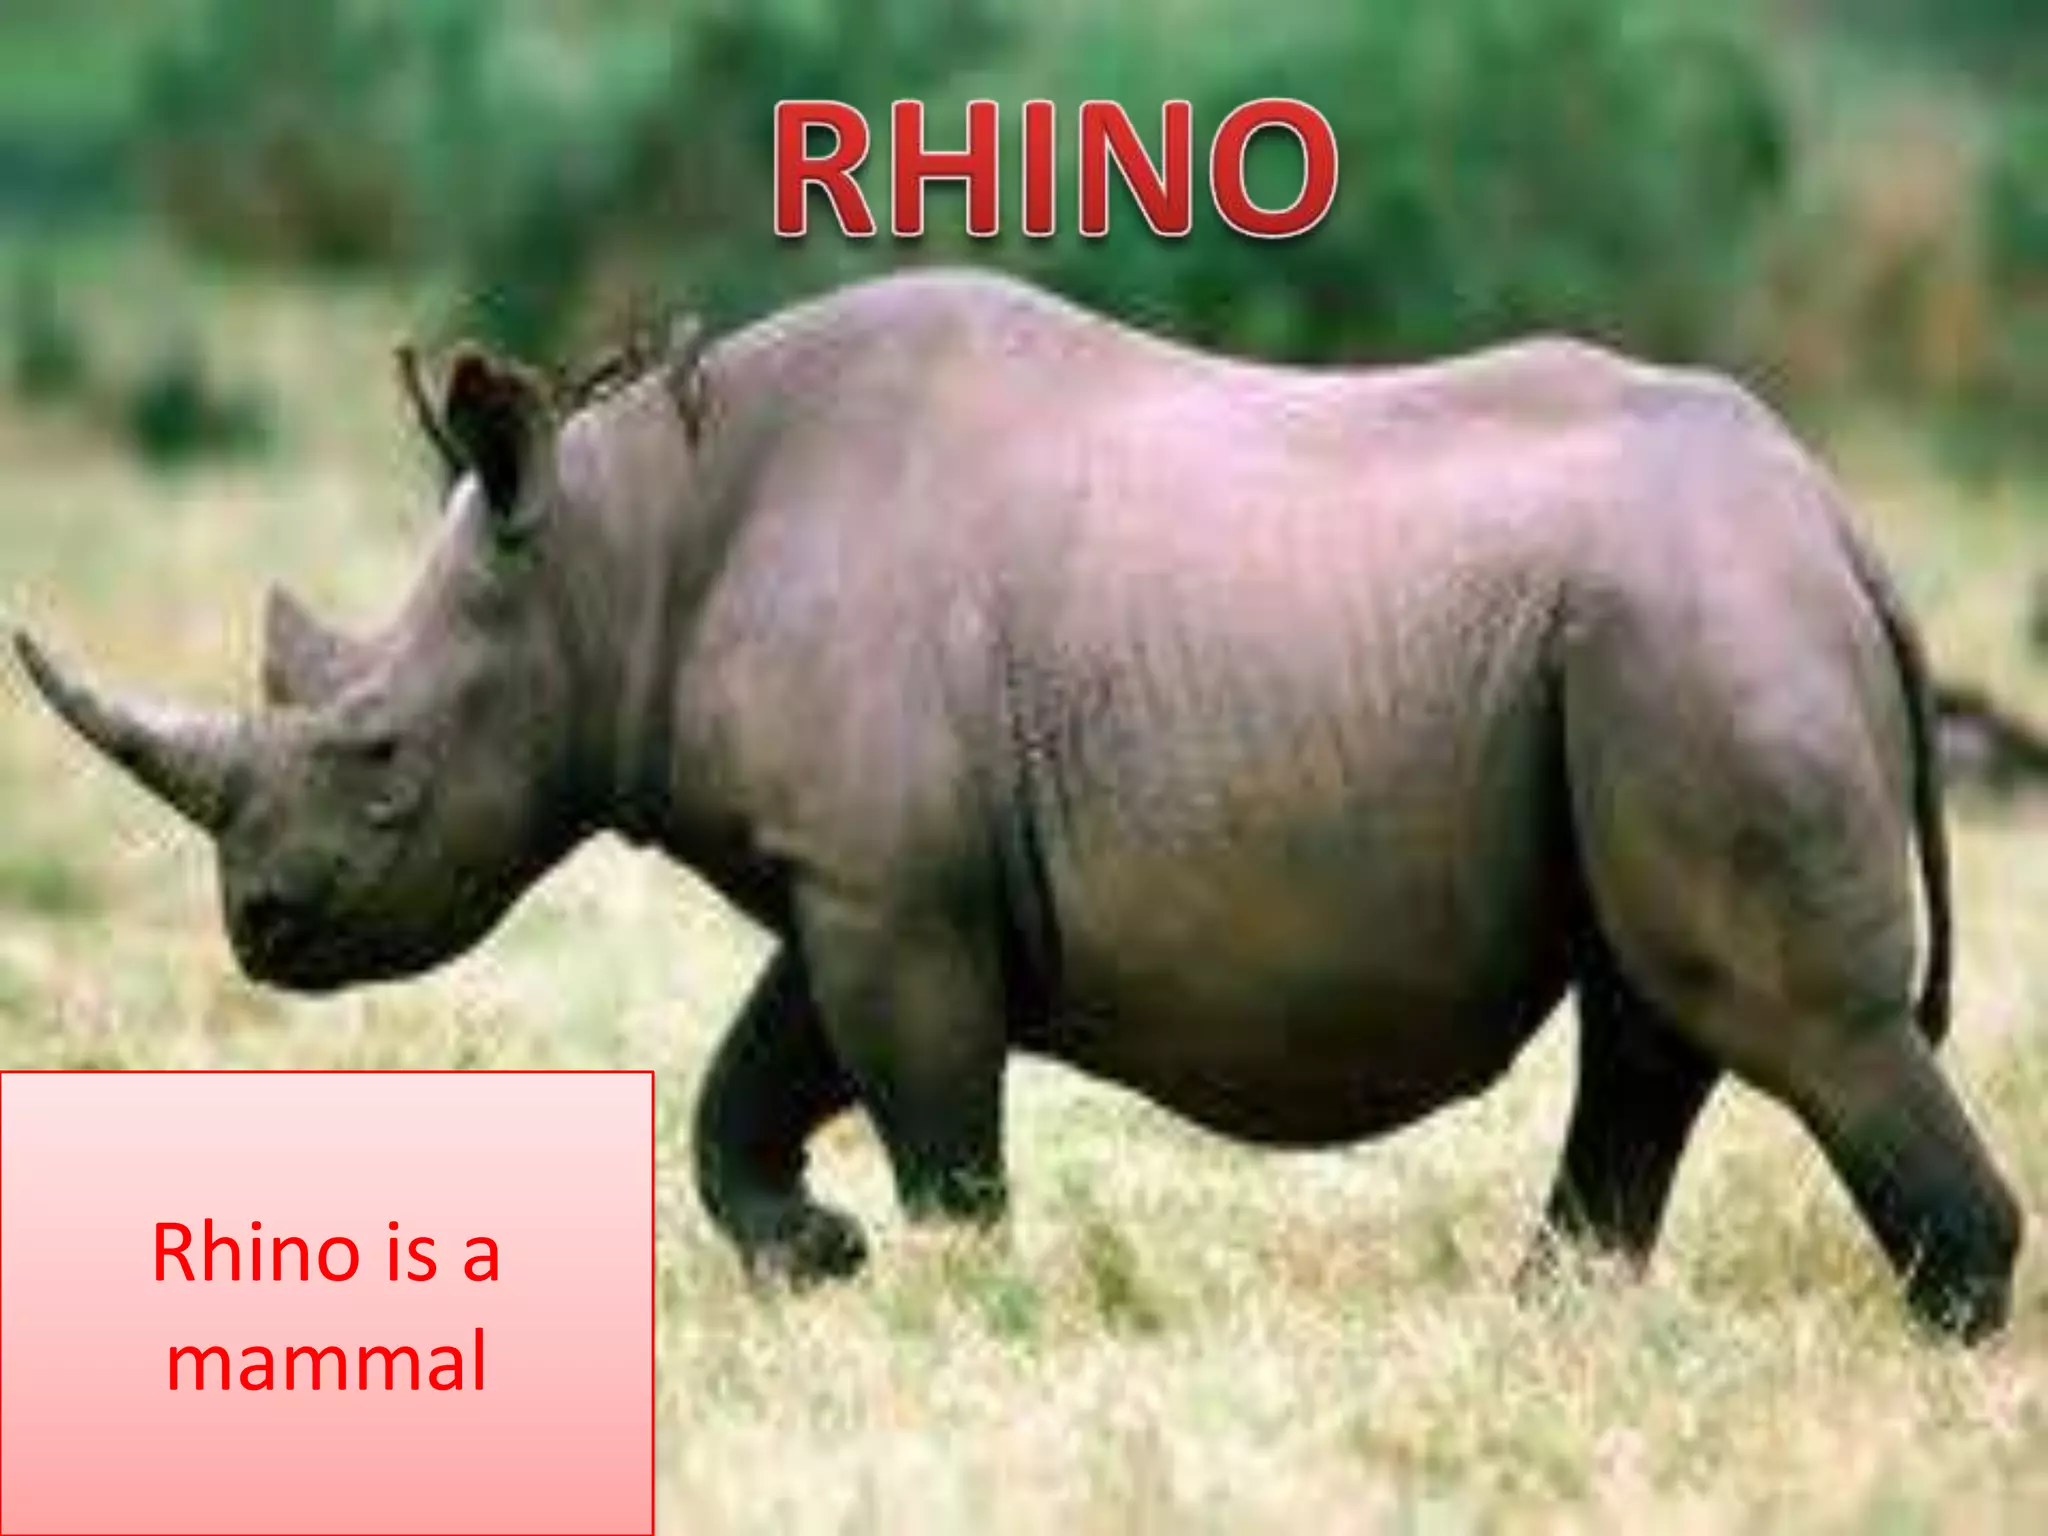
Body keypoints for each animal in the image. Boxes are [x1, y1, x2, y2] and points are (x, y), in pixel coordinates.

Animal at [15, 269, 2021, 1336]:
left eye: (377, 759)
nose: (256, 932)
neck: (613, 560)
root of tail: (1841, 526)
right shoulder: (859, 868)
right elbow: (751, 1083)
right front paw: (817, 1261)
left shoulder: (891, 890)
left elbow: (935, 1125)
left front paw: (959, 1301)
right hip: (1658, 632)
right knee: (1655, 1019)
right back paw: (1551, 1321)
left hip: (1698, 624)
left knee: (1790, 1020)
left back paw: (1936, 1348)